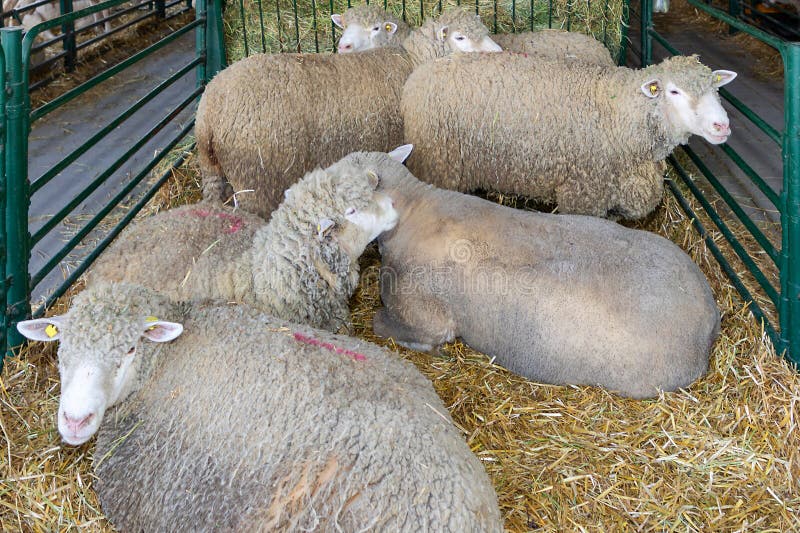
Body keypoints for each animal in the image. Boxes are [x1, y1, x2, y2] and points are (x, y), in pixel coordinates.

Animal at [196, 8, 501, 219]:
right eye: (460, 37)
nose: (499, 51)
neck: (411, 61)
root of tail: (209, 107)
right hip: (255, 178)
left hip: (215, 170)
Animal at [401, 54, 737, 220]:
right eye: (674, 91)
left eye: (716, 88)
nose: (722, 126)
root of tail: (417, 76)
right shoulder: (584, 193)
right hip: (439, 162)